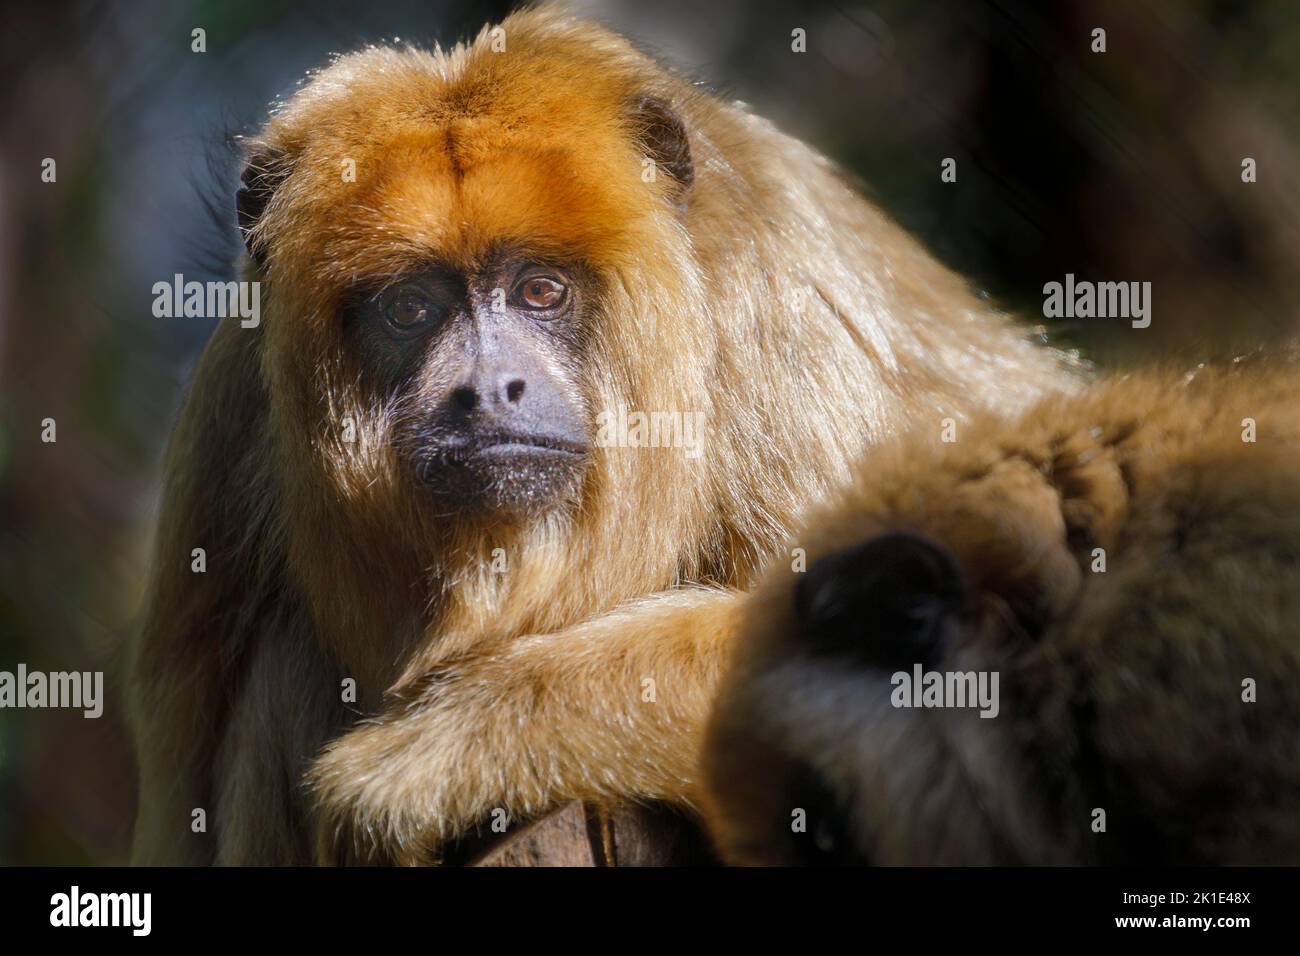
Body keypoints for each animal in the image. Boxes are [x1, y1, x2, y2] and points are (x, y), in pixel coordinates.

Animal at [126, 7, 1076, 865]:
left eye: (541, 291)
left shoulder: (780, 312)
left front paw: (458, 742)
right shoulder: (228, 417)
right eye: (410, 308)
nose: (487, 391)